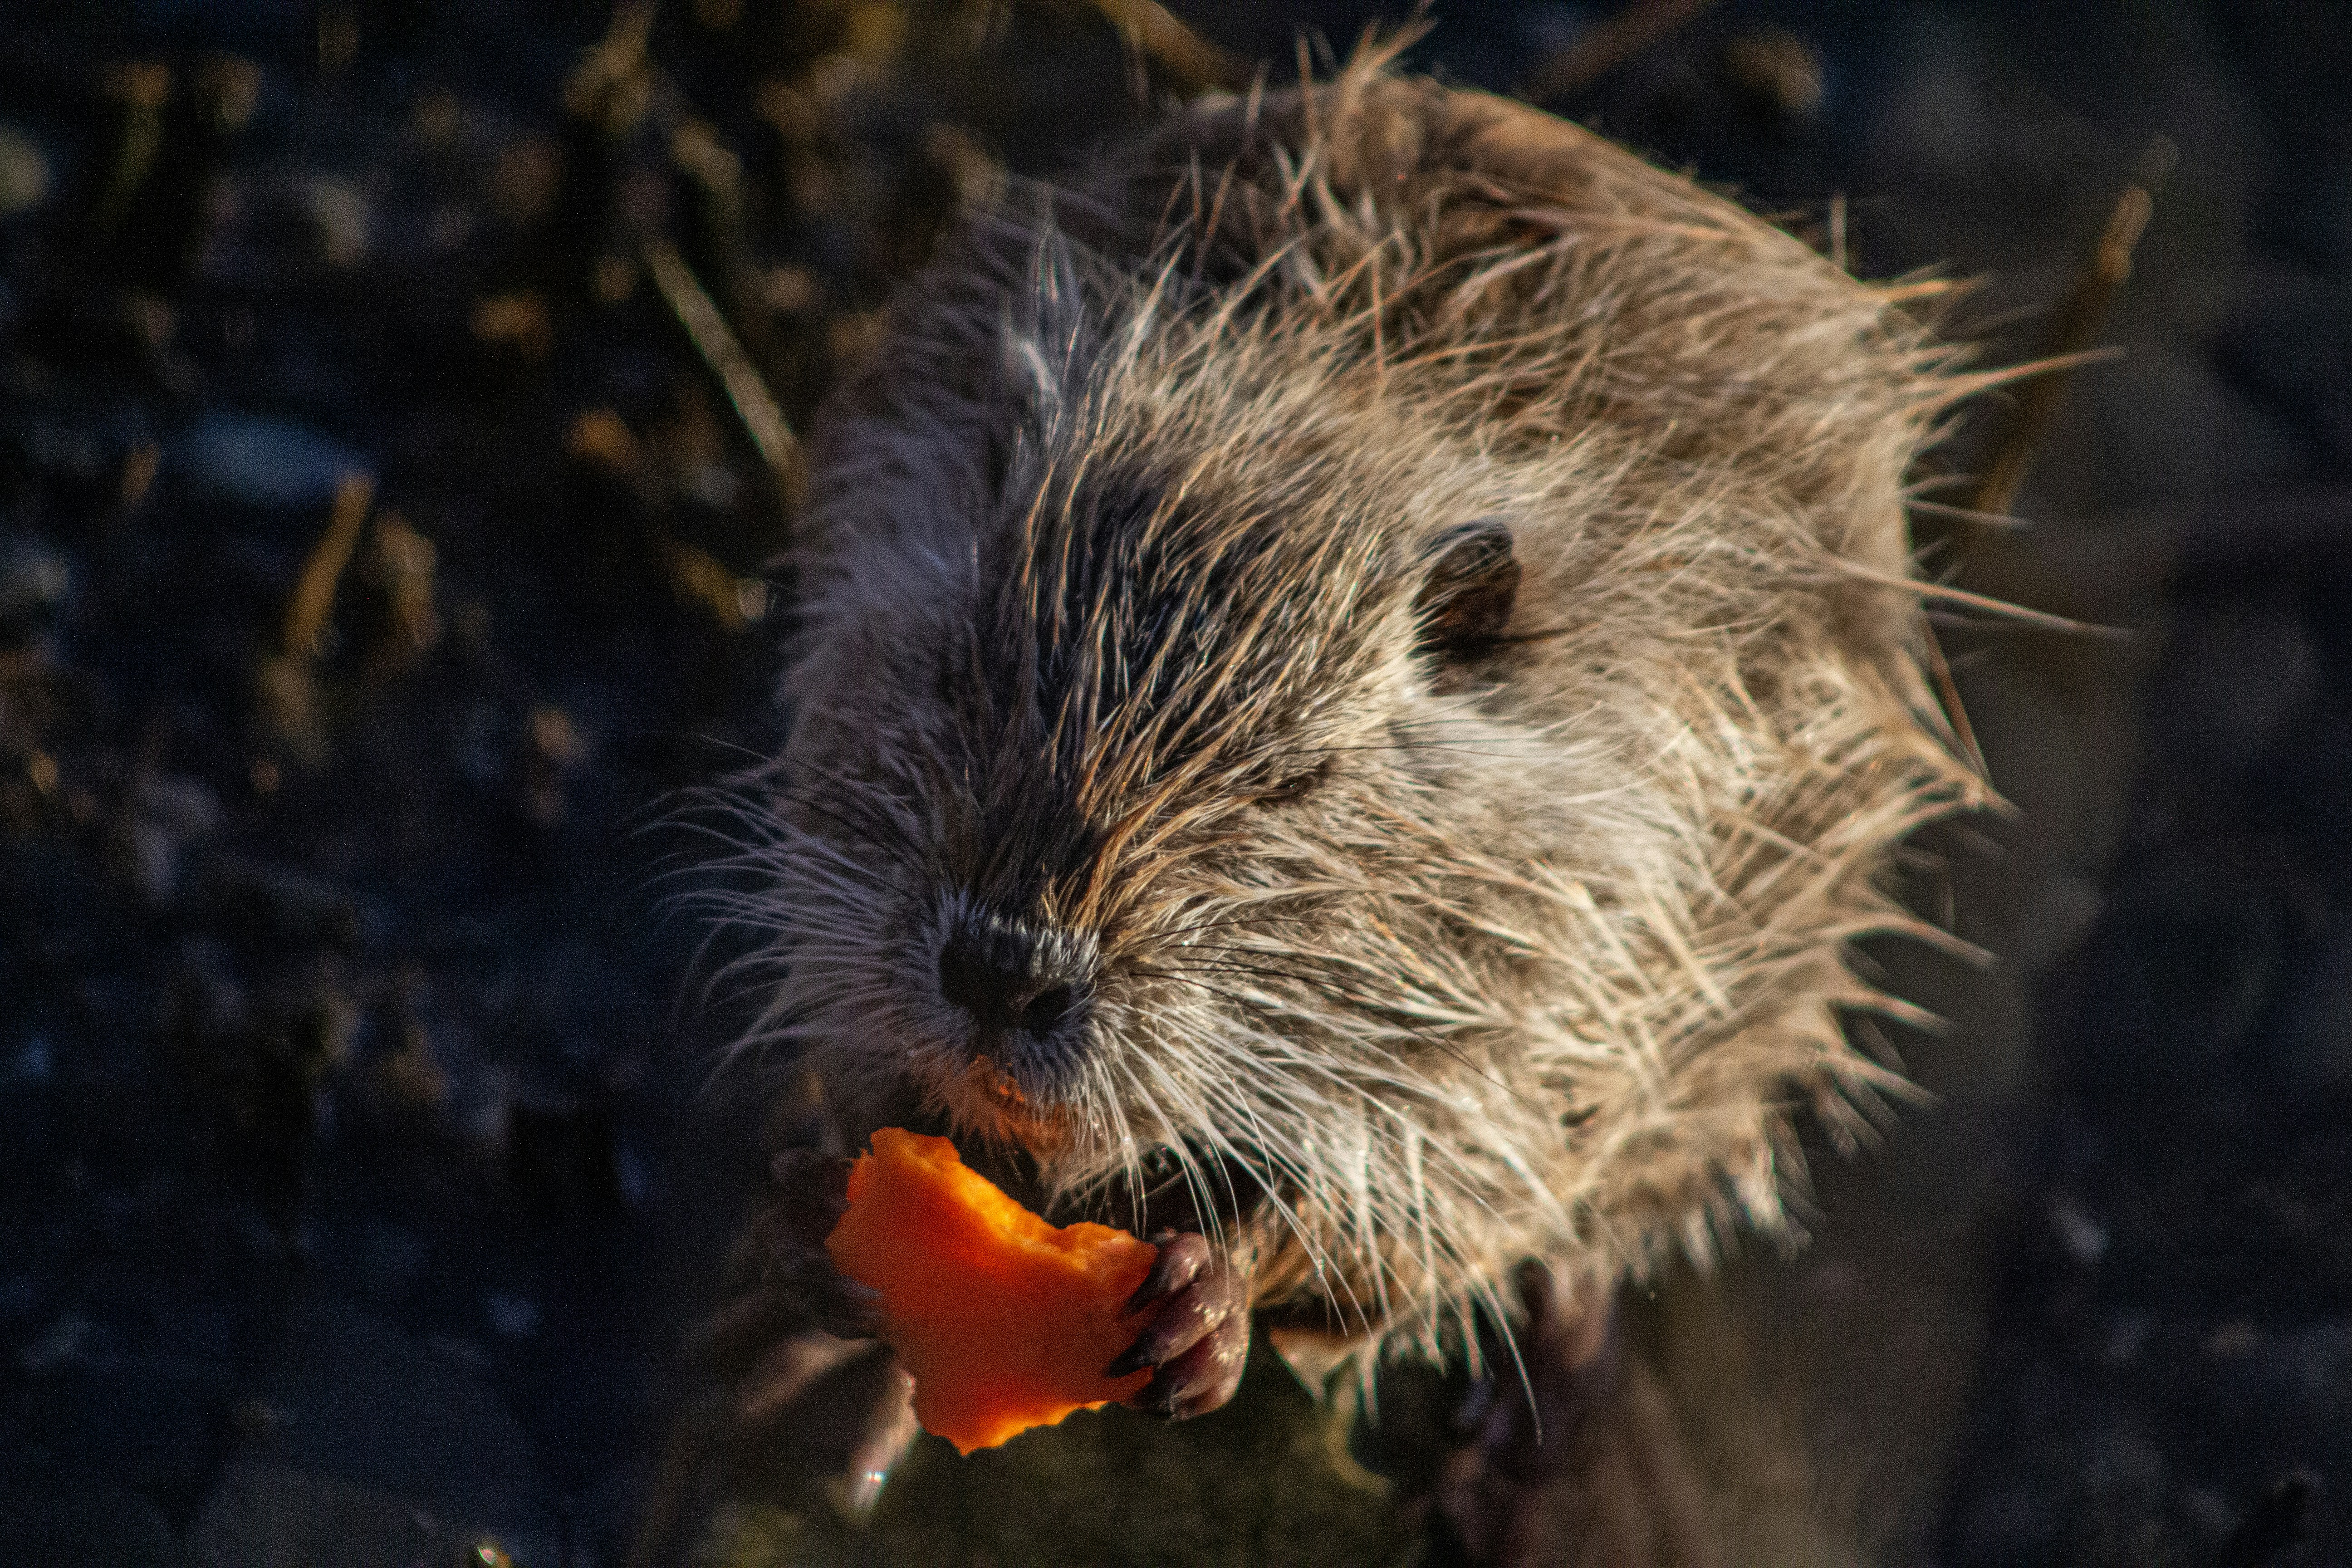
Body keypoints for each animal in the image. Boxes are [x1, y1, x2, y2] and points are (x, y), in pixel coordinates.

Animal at [691, 47, 1991, 1557]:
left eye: (1296, 777)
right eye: (970, 673)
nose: (1007, 968)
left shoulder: (1622, 914)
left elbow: (1485, 1159)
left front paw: (1209, 1301)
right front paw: (811, 1244)